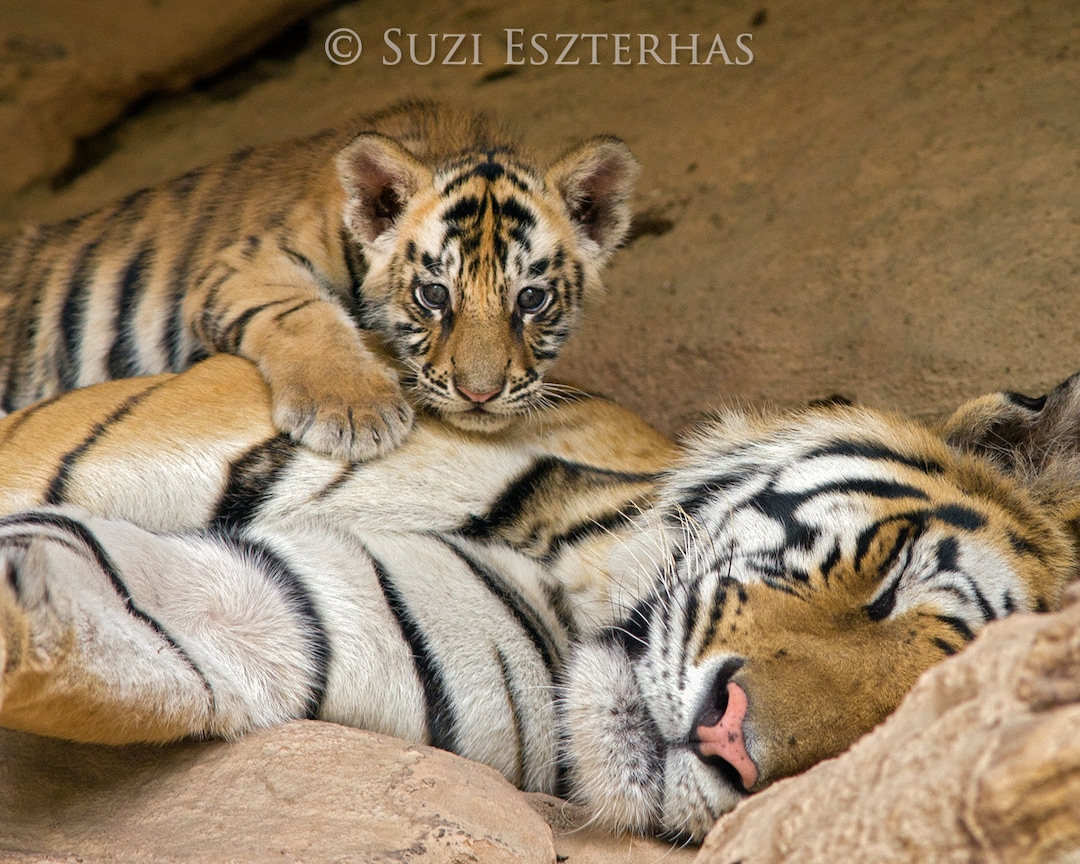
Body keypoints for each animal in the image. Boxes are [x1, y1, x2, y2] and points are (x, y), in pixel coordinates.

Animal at [0, 101, 638, 461]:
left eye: (531, 299)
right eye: (433, 295)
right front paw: (353, 412)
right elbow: (301, 313)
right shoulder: (247, 262)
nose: (478, 395)